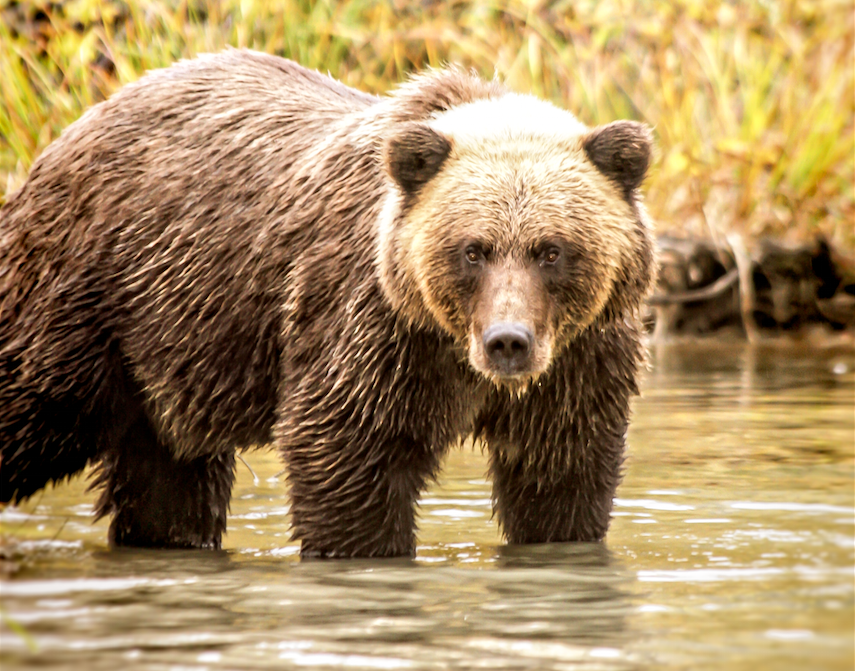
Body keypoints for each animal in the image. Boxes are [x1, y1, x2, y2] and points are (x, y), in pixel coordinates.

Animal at [0, 49, 656, 557]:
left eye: (551, 250)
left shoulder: (580, 357)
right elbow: (348, 451)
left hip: (169, 360)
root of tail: (75, 127)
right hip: (89, 300)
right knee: (29, 400)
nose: (508, 342)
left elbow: (561, 479)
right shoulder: (369, 324)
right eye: (474, 250)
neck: (451, 348)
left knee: (168, 485)